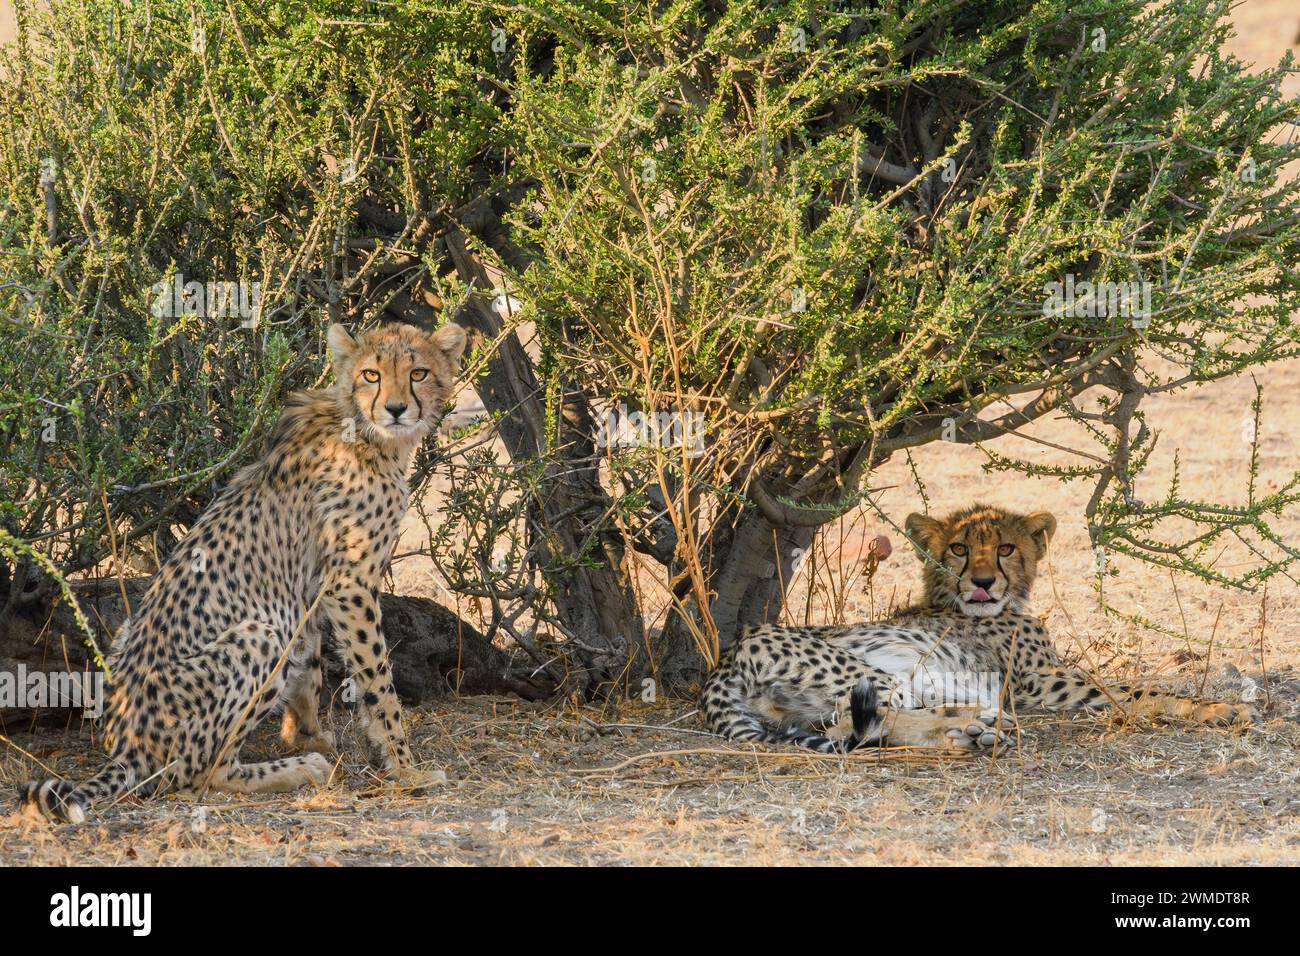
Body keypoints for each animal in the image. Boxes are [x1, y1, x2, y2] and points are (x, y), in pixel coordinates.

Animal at [19, 320, 467, 823]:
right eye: (371, 374)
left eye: (418, 372)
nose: (395, 409)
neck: (366, 432)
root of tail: (124, 747)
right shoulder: (350, 583)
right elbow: (378, 680)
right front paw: (406, 769)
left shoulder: (312, 589)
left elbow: (310, 666)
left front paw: (308, 733)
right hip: (258, 637)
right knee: (200, 773)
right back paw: (300, 770)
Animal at [701, 504, 1256, 754]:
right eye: (959, 549)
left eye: (1006, 548)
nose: (984, 582)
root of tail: (727, 657)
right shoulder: (1042, 681)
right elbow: (1138, 691)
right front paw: (1217, 707)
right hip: (868, 674)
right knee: (855, 724)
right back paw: (967, 732)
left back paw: (972, 726)